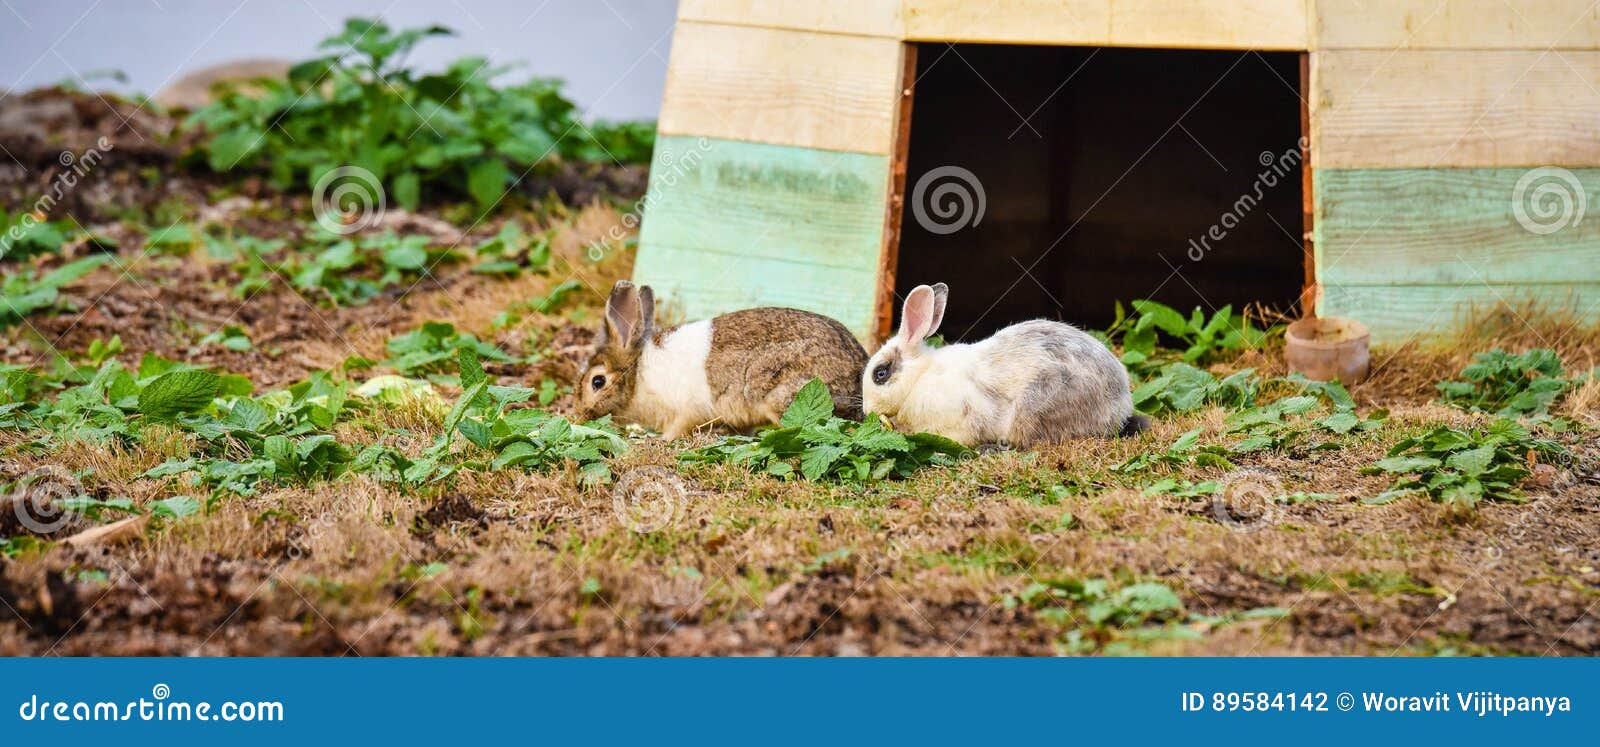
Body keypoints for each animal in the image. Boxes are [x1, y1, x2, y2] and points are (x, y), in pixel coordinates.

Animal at [575, 280, 869, 440]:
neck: (638, 375)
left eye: (597, 382)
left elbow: (677, 428)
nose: (579, 415)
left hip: (782, 392)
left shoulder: (686, 410)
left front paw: (659, 440)